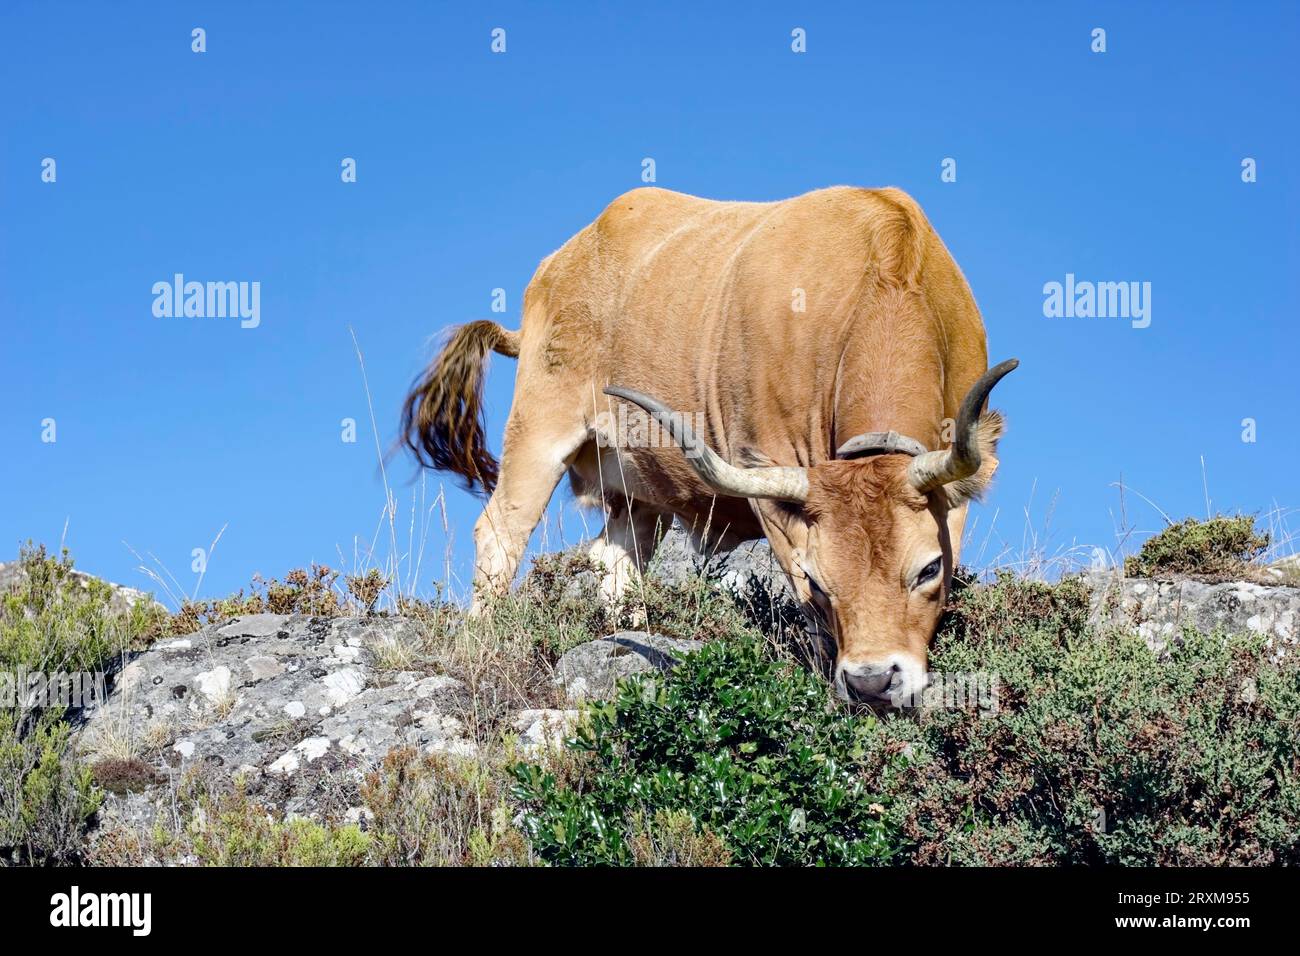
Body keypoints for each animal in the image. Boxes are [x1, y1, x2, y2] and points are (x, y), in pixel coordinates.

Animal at [400, 185, 1017, 705]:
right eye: (819, 581)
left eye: (929, 570)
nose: (871, 682)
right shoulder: (770, 476)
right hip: (539, 426)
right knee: (500, 531)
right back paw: (481, 642)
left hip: (636, 487)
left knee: (614, 560)